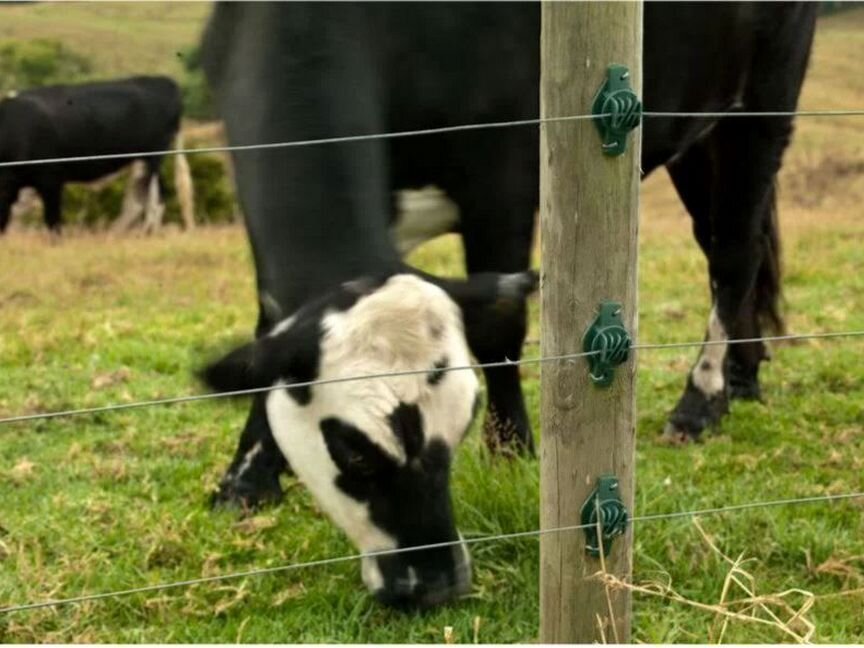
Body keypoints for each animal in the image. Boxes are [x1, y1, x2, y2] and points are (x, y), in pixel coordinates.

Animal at [0, 76, 191, 233]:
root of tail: (165, 82)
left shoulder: (50, 179)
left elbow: (52, 221)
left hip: (149, 158)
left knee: (146, 202)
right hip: (142, 162)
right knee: (146, 200)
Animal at [201, 2, 816, 508]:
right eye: (349, 448)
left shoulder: (503, 180)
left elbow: (499, 326)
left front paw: (510, 448)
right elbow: (269, 331)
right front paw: (246, 478)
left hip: (761, 106)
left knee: (734, 255)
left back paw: (701, 400)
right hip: (693, 132)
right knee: (730, 247)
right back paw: (744, 376)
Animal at [204, 268, 540, 608]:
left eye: (461, 430)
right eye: (356, 455)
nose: (438, 589)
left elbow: (501, 328)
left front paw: (510, 449)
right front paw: (245, 485)